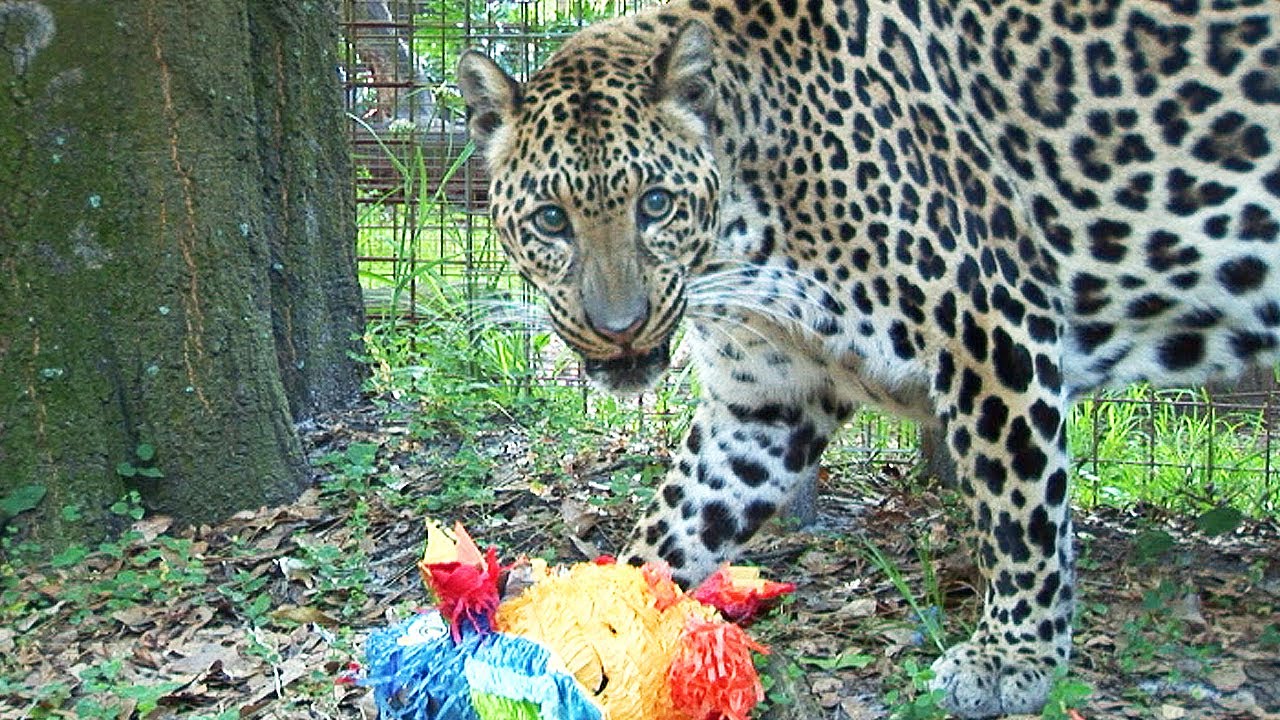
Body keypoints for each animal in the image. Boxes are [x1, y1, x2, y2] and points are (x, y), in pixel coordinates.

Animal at [456, 0, 1280, 715]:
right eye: (551, 220)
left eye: (655, 204)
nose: (620, 329)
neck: (748, 238)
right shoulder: (763, 404)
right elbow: (678, 522)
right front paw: (600, 623)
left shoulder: (994, 327)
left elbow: (1020, 514)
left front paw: (1015, 658)